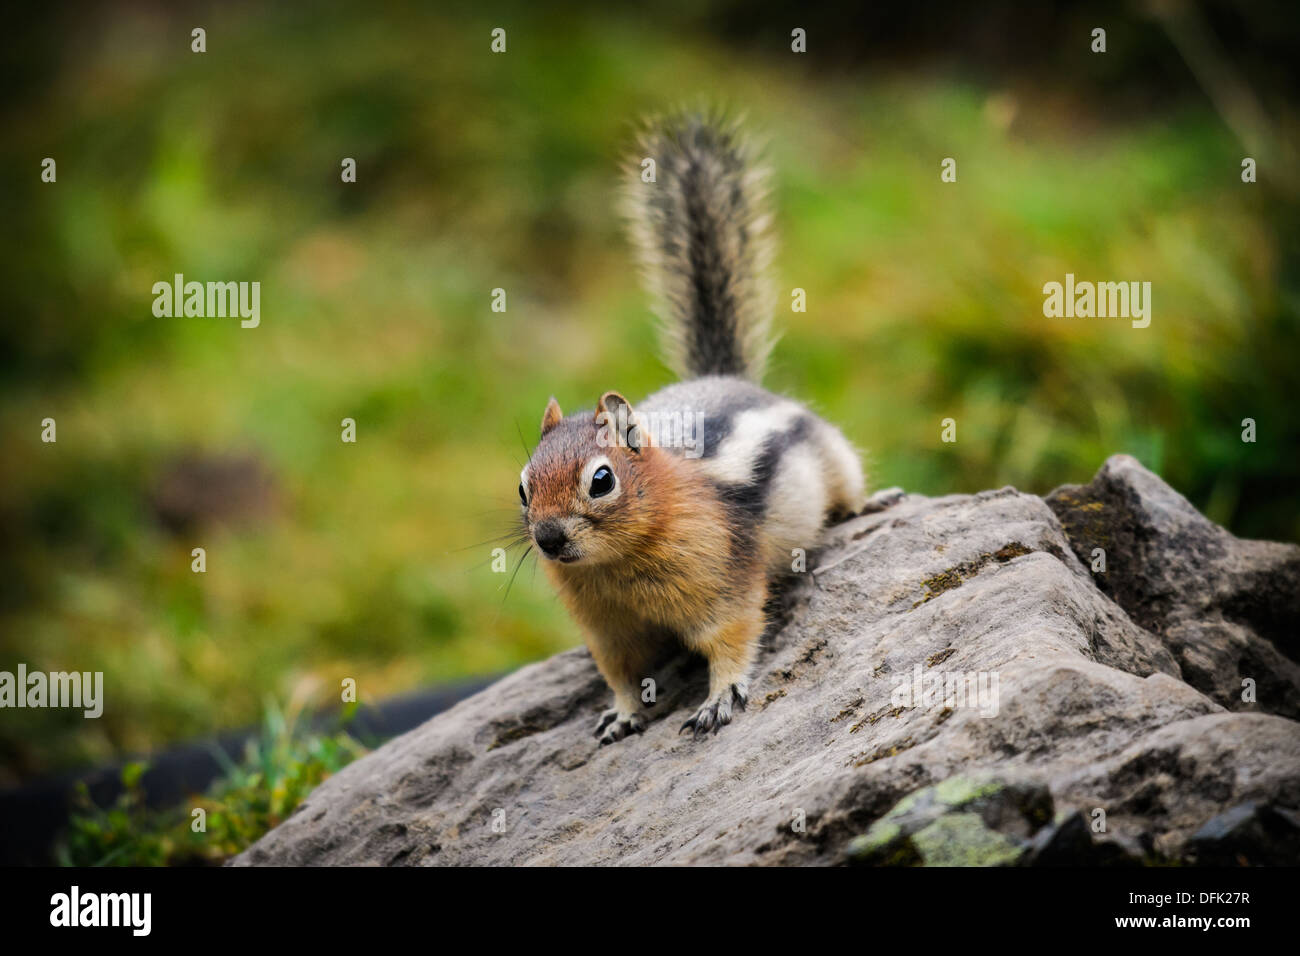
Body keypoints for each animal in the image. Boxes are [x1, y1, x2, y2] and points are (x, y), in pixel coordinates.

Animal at [517, 112, 865, 745]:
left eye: (601, 481)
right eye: (523, 489)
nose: (549, 539)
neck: (615, 566)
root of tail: (724, 376)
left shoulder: (723, 581)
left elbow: (732, 636)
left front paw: (719, 697)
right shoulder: (608, 630)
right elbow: (620, 671)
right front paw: (622, 712)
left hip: (836, 457)